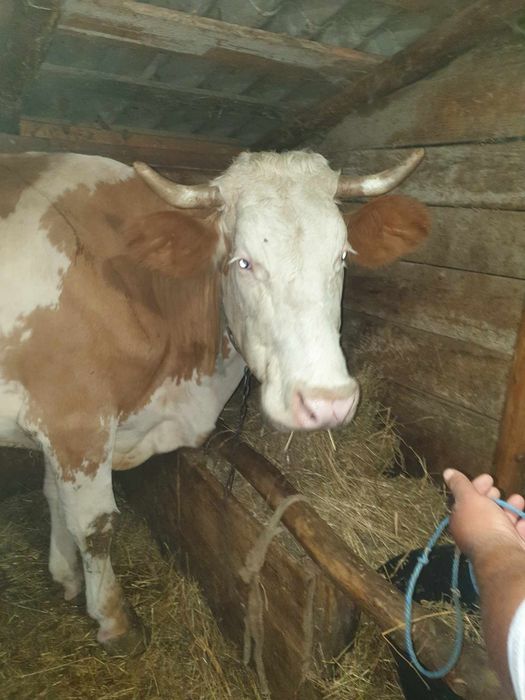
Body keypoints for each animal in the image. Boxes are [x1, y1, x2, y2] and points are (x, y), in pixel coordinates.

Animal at [0, 148, 429, 653]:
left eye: (342, 255)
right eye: (243, 262)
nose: (327, 401)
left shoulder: (56, 426)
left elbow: (54, 497)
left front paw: (65, 576)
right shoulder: (76, 418)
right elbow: (94, 524)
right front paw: (115, 621)